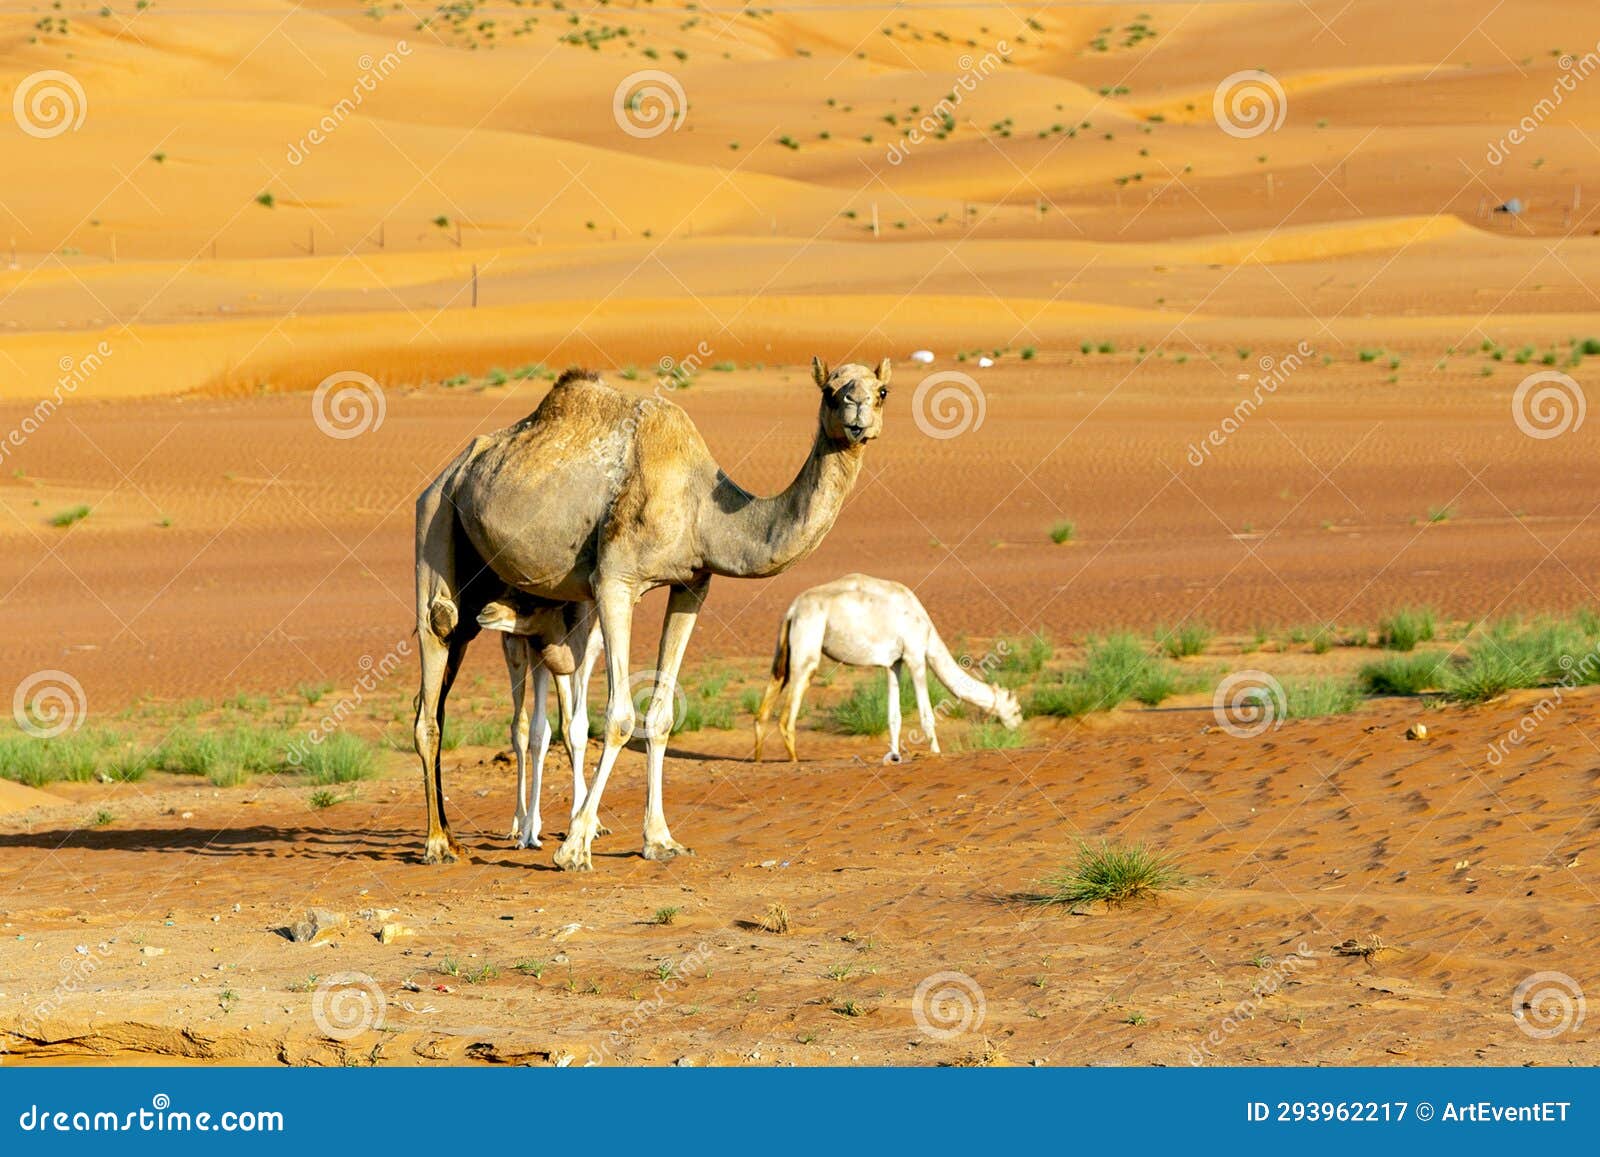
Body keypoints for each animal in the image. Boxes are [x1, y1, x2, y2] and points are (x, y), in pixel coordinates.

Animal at [475, 596, 603, 849]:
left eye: (528, 606)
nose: (486, 611)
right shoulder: (536, 649)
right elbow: (539, 731)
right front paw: (531, 831)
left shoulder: (588, 646)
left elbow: (575, 727)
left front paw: (587, 823)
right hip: (514, 650)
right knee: (519, 726)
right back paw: (518, 824)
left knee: (565, 721)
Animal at [753, 574, 1023, 763]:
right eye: (1017, 708)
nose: (1018, 725)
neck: (927, 629)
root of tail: (793, 610)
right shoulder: (915, 655)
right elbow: (927, 715)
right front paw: (936, 753)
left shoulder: (894, 664)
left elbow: (894, 717)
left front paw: (894, 757)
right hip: (808, 644)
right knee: (788, 715)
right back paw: (794, 761)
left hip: (785, 651)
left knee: (768, 700)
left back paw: (757, 760)